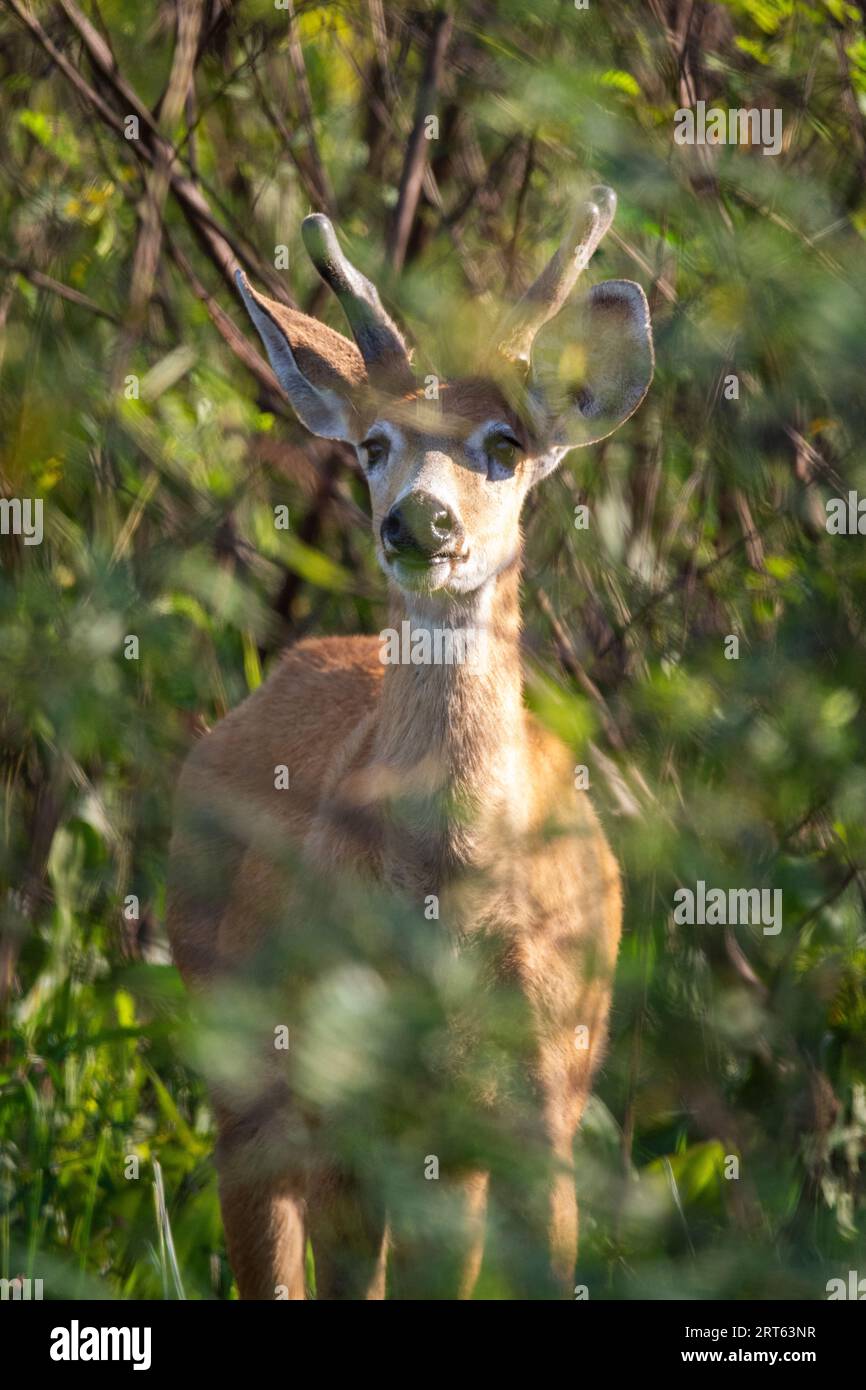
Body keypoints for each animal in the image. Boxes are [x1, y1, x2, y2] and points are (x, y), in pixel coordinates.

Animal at [166, 185, 654, 1300]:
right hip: (244, 1078)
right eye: (374, 443)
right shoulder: (346, 1113)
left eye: (504, 443)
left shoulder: (541, 1118)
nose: (418, 524)